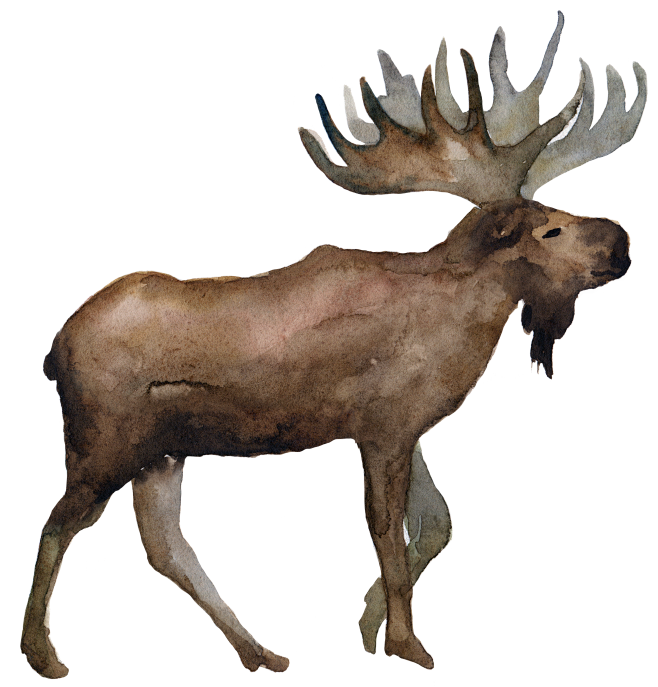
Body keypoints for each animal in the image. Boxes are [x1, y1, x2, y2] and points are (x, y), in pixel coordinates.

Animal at [21, 11, 646, 678]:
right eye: (548, 228)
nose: (620, 241)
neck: (455, 324)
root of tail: (53, 350)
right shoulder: (384, 424)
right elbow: (389, 535)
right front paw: (407, 644)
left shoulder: (404, 424)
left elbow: (436, 524)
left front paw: (371, 625)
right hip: (103, 442)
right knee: (58, 526)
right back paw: (43, 654)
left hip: (162, 452)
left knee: (164, 547)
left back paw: (261, 652)